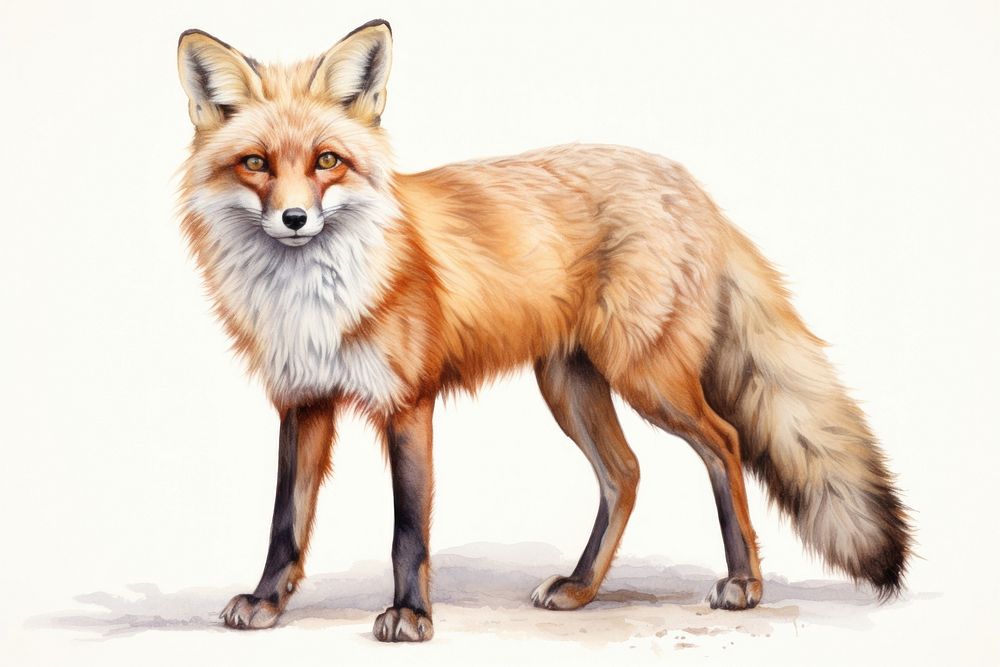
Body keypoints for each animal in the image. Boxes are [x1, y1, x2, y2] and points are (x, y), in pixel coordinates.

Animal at [175, 19, 911, 641]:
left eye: (327, 161)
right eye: (256, 164)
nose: (295, 219)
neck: (314, 299)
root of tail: (690, 186)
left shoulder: (409, 402)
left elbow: (408, 528)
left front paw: (412, 614)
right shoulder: (303, 400)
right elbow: (285, 521)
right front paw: (268, 601)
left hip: (645, 378)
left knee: (724, 443)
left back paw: (742, 581)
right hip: (570, 385)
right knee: (625, 472)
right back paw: (582, 587)